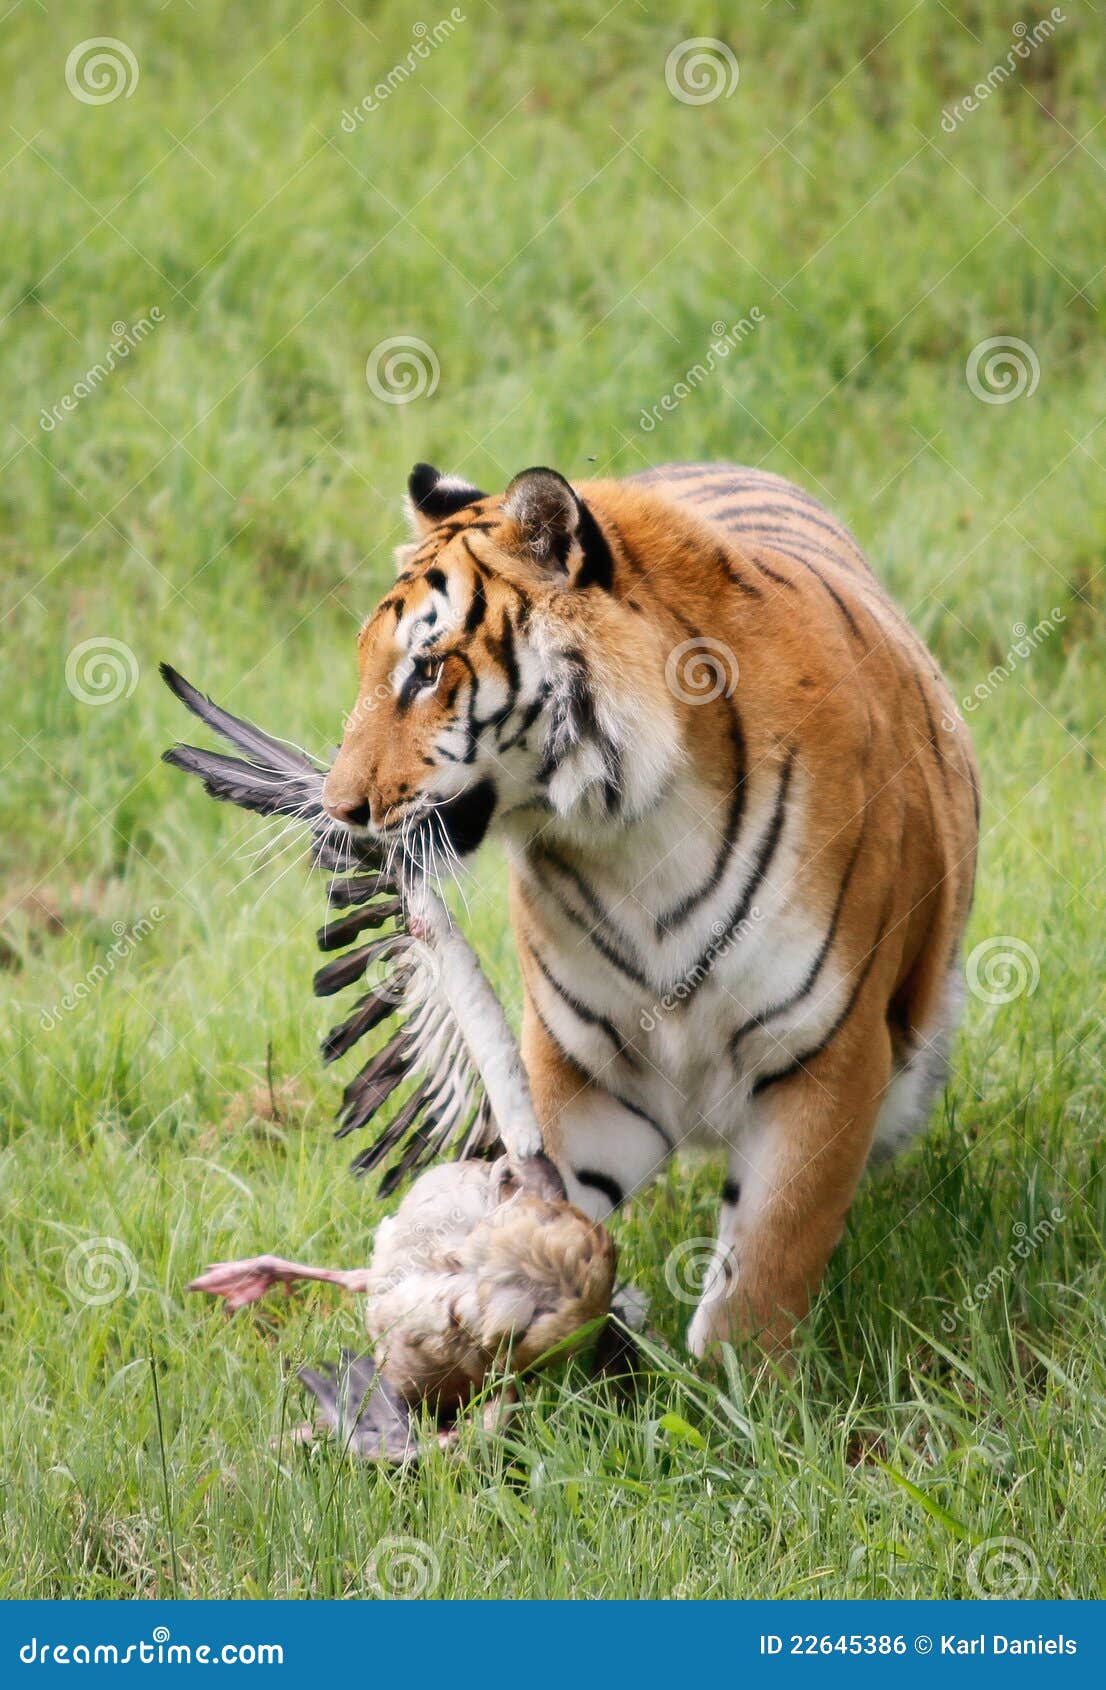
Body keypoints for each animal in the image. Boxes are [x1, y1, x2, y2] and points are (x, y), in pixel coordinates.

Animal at [322, 459, 980, 1358]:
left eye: (426, 671)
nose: (337, 810)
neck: (629, 836)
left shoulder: (829, 1053)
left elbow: (766, 1266)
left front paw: (744, 1390)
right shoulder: (586, 1072)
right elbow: (550, 1201)